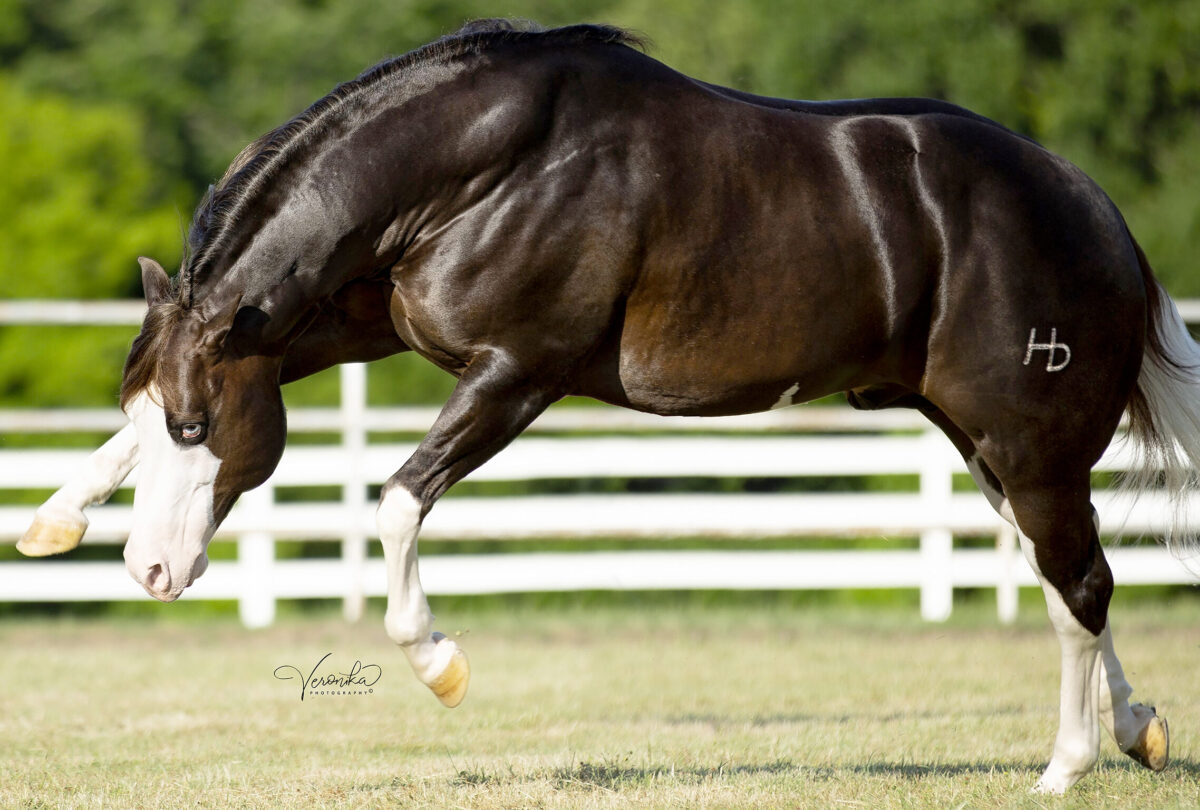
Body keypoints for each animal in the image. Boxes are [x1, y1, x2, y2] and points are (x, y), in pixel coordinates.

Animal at [18, 20, 1195, 793]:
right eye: (159, 419)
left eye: (196, 427)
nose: (151, 572)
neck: (485, 163)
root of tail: (1093, 209)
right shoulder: (348, 323)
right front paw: (52, 521)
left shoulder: (516, 372)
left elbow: (396, 503)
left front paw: (439, 664)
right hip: (988, 446)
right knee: (1065, 577)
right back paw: (1135, 730)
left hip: (1027, 443)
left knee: (1080, 582)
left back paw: (1064, 767)